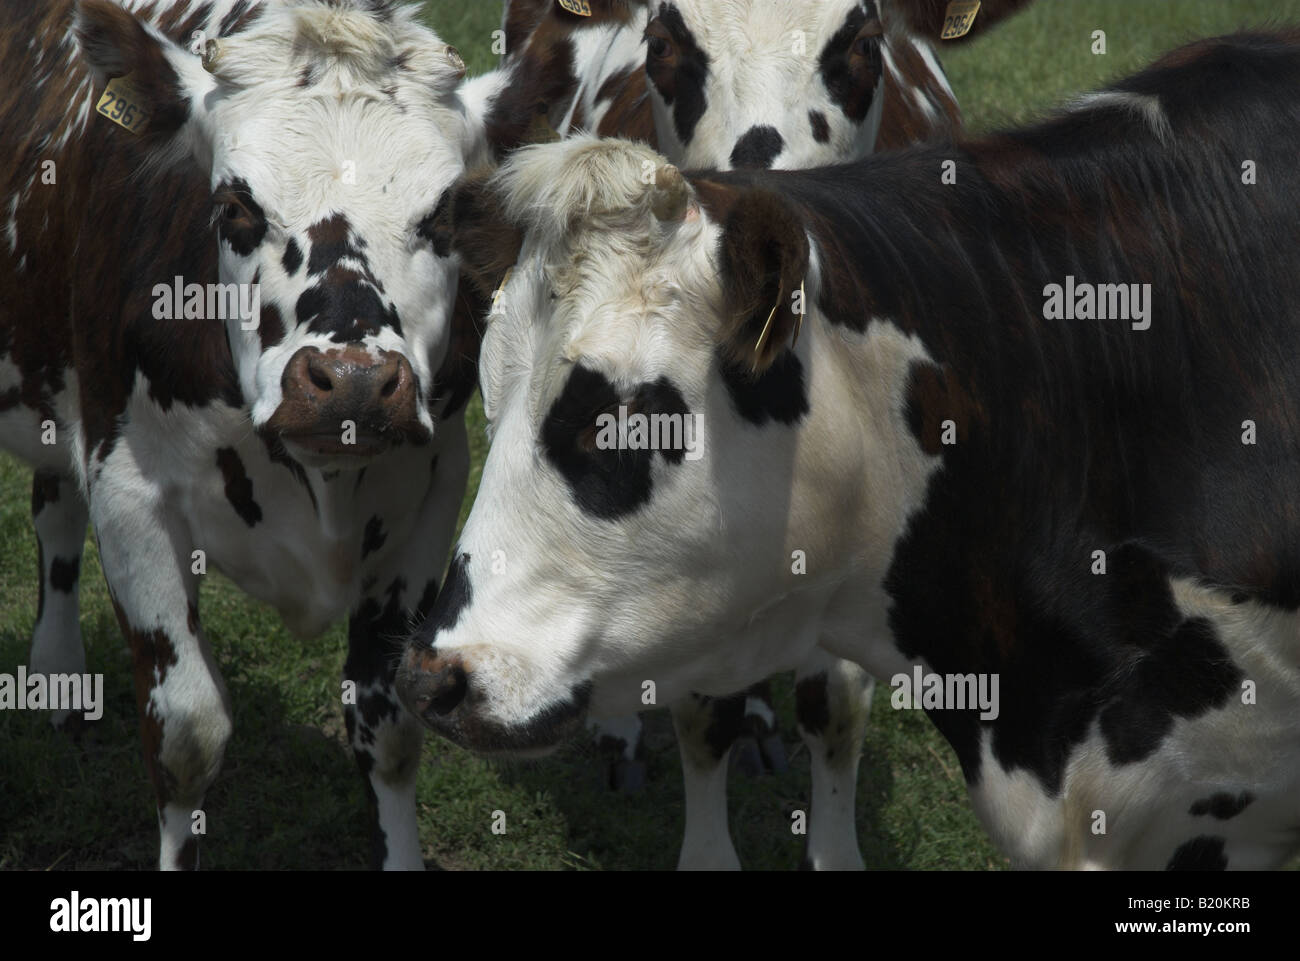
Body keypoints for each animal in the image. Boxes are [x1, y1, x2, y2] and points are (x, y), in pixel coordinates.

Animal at [0, 0, 486, 869]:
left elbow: (391, 725)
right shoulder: (127, 487)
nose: (351, 381)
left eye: (444, 214)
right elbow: (187, 732)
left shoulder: (432, 484)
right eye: (235, 207)